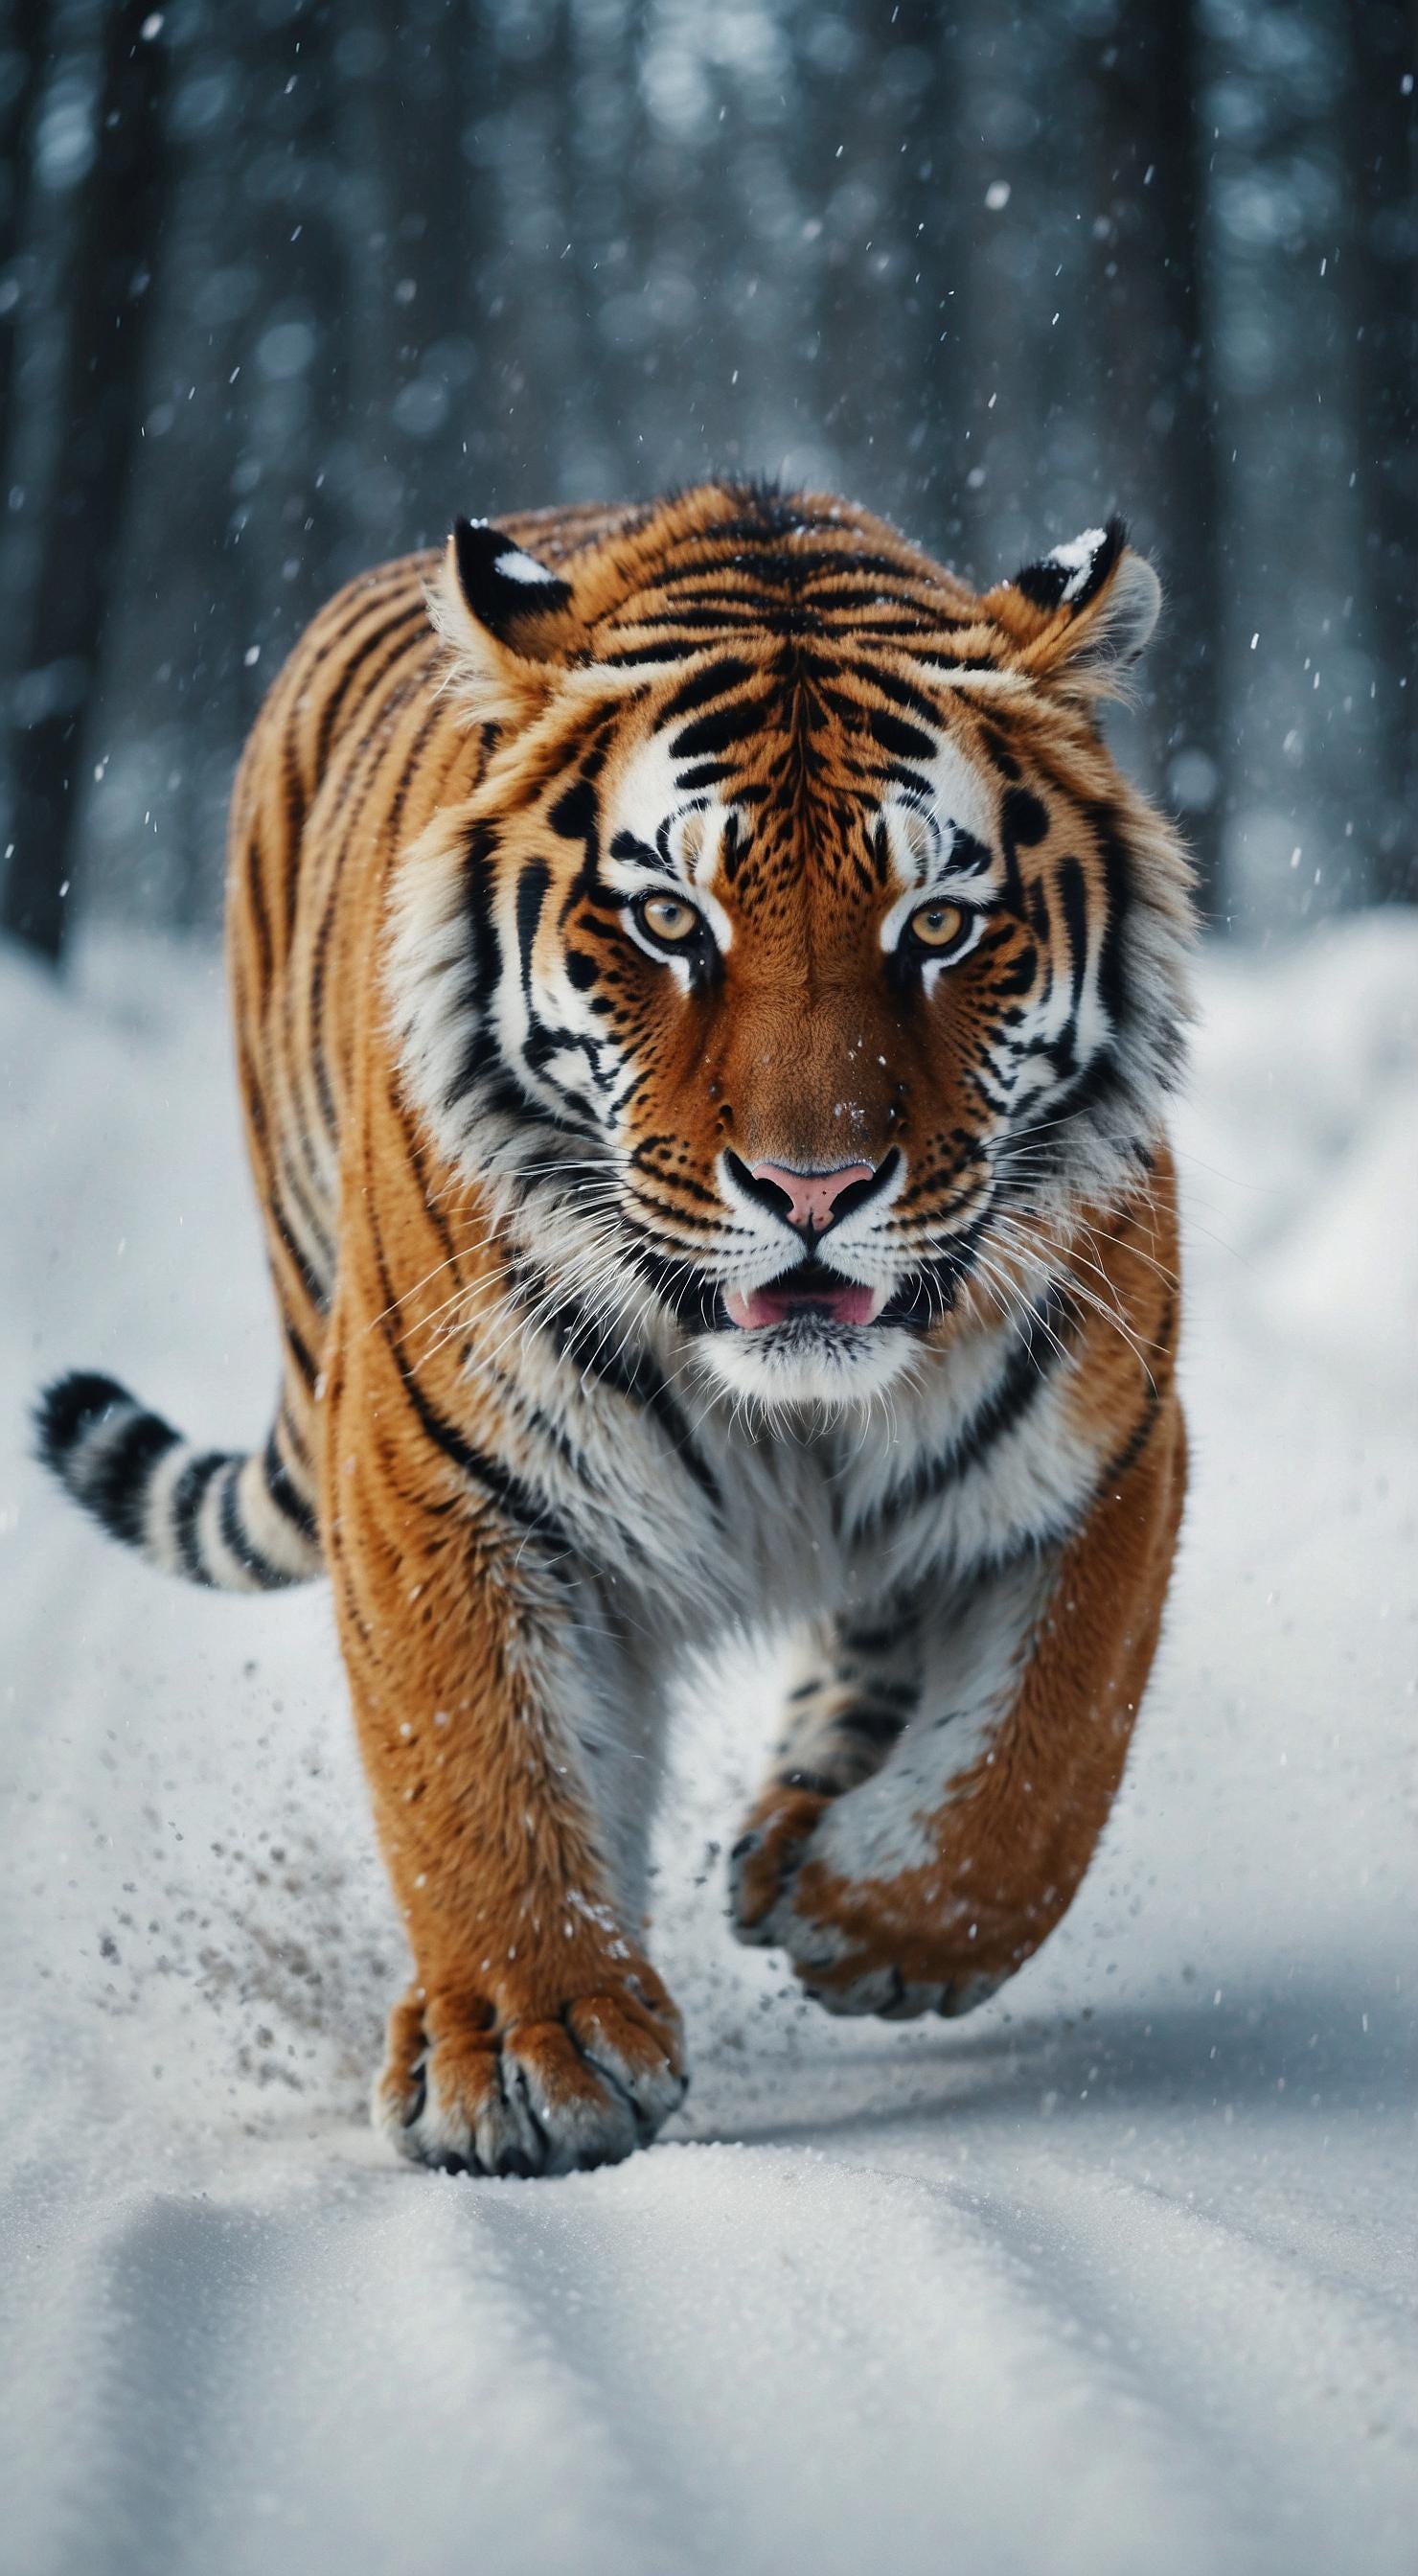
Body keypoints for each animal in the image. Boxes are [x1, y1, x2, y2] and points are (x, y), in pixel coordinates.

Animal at [38, 481, 1193, 2178]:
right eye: (665, 919)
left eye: (935, 925)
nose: (813, 1184)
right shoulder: (444, 1468)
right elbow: (477, 1760)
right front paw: (533, 2051)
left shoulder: (1107, 1450)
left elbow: (1034, 1766)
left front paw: (869, 1928)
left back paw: (794, 1847)